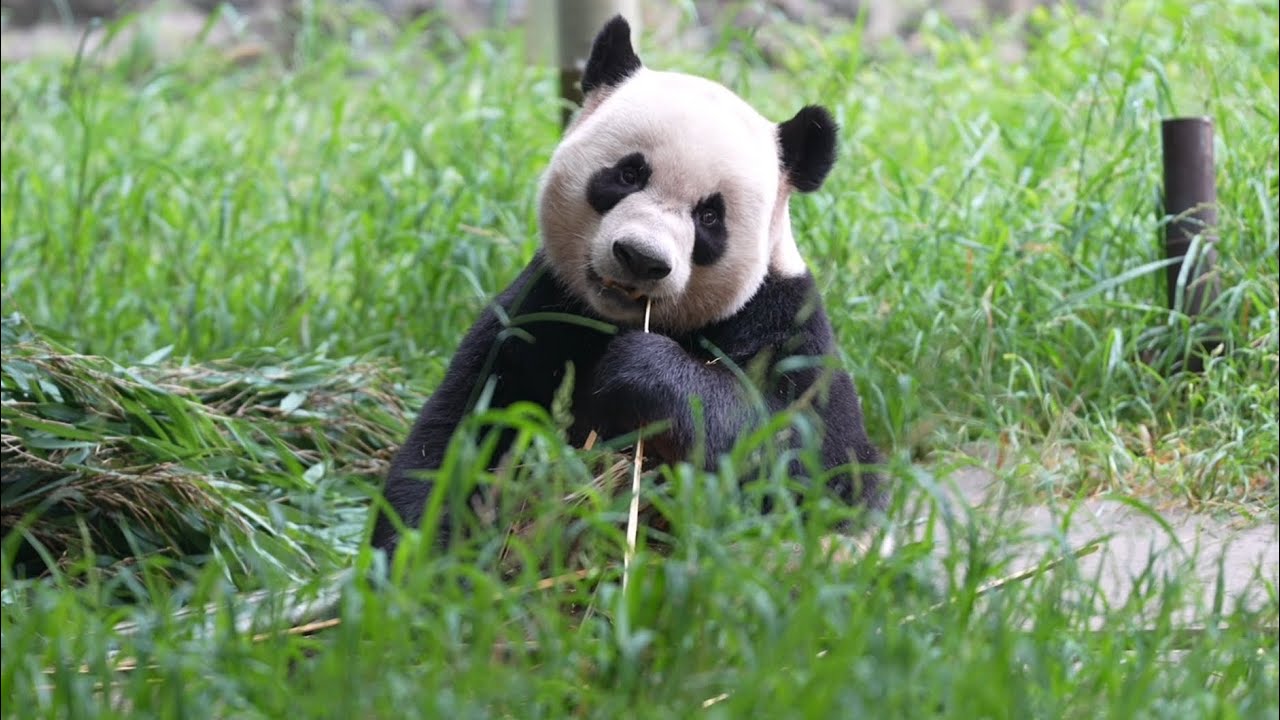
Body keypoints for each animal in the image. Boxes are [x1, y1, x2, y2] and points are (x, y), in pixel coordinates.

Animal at [371, 15, 886, 554]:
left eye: (709, 216)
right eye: (629, 173)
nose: (641, 258)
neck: (621, 320)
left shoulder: (784, 321)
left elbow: (812, 459)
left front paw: (639, 371)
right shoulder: (542, 309)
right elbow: (460, 431)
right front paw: (417, 555)